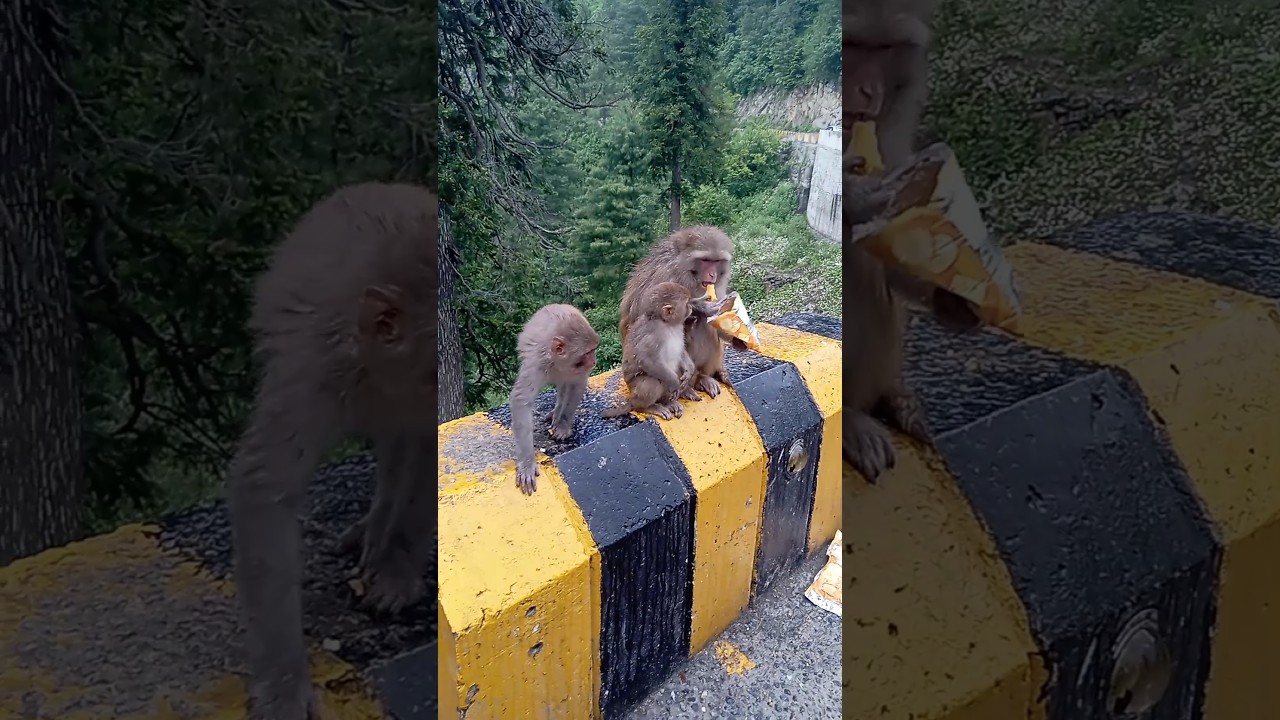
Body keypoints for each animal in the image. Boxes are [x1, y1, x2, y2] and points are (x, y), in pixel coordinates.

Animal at [225, 182, 437, 720]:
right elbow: (265, 485)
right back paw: (373, 525)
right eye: (432, 367)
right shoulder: (314, 371)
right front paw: (284, 685)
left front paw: (397, 570)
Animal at [510, 304, 600, 495]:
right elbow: (521, 400)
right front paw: (527, 463)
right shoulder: (536, 364)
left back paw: (557, 413)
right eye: (587, 353)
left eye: (594, 350)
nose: (594, 362)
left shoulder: (575, 371)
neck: (557, 361)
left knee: (565, 387)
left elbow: (577, 386)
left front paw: (563, 425)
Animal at [602, 282, 700, 421]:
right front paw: (674, 382)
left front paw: (689, 371)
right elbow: (646, 359)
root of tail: (632, 400)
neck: (667, 324)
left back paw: (668, 402)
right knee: (652, 382)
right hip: (635, 389)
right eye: (686, 303)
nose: (691, 307)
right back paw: (648, 407)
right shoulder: (653, 334)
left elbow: (680, 351)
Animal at [619, 226, 746, 402]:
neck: (687, 273)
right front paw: (701, 307)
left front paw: (739, 339)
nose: (712, 275)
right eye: (705, 260)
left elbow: (719, 319)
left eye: (716, 261)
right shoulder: (666, 275)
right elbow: (642, 318)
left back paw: (708, 375)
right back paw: (693, 384)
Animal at [842, 0, 981, 484]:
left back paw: (887, 398)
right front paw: (859, 196)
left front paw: (954, 297)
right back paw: (851, 418)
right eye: (851, 44)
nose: (867, 92)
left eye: (885, 47)